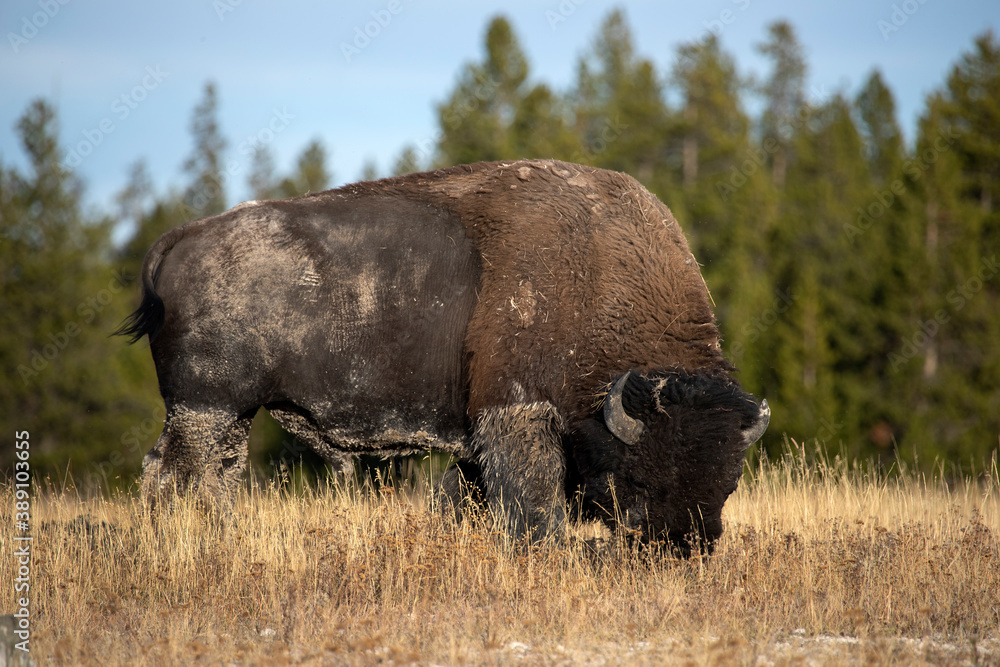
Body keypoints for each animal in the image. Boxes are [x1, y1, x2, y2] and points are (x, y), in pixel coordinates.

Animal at [116, 159, 769, 555]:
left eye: (728, 480)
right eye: (641, 472)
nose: (680, 550)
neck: (597, 279)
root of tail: (181, 238)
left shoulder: (477, 442)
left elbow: (462, 498)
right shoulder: (517, 416)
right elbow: (532, 503)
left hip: (228, 416)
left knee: (212, 477)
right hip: (206, 408)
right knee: (176, 476)